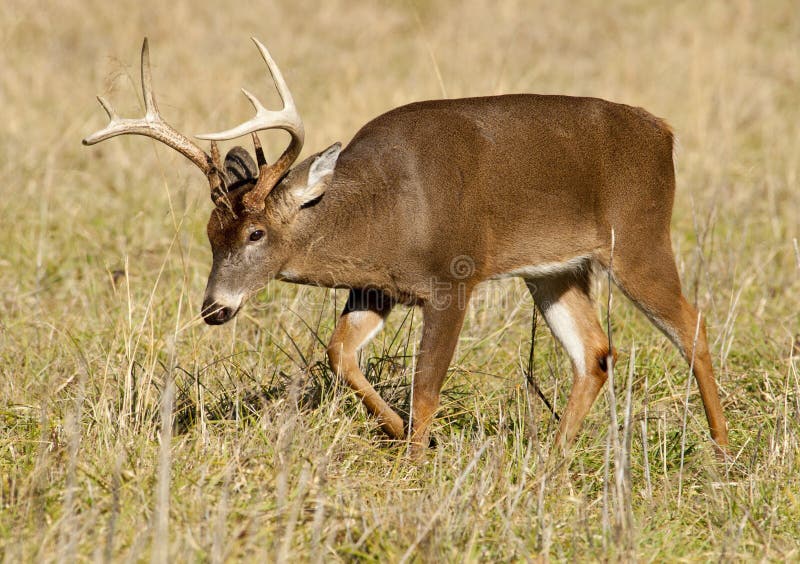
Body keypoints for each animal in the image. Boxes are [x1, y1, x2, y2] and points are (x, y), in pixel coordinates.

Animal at [83, 38, 729, 457]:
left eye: (256, 233)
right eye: (210, 234)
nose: (214, 309)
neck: (385, 208)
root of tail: (664, 132)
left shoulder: (454, 275)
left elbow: (426, 384)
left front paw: (417, 458)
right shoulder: (376, 286)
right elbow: (340, 354)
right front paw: (403, 434)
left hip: (639, 236)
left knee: (693, 325)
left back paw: (722, 449)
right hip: (553, 270)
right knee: (595, 351)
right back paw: (555, 457)